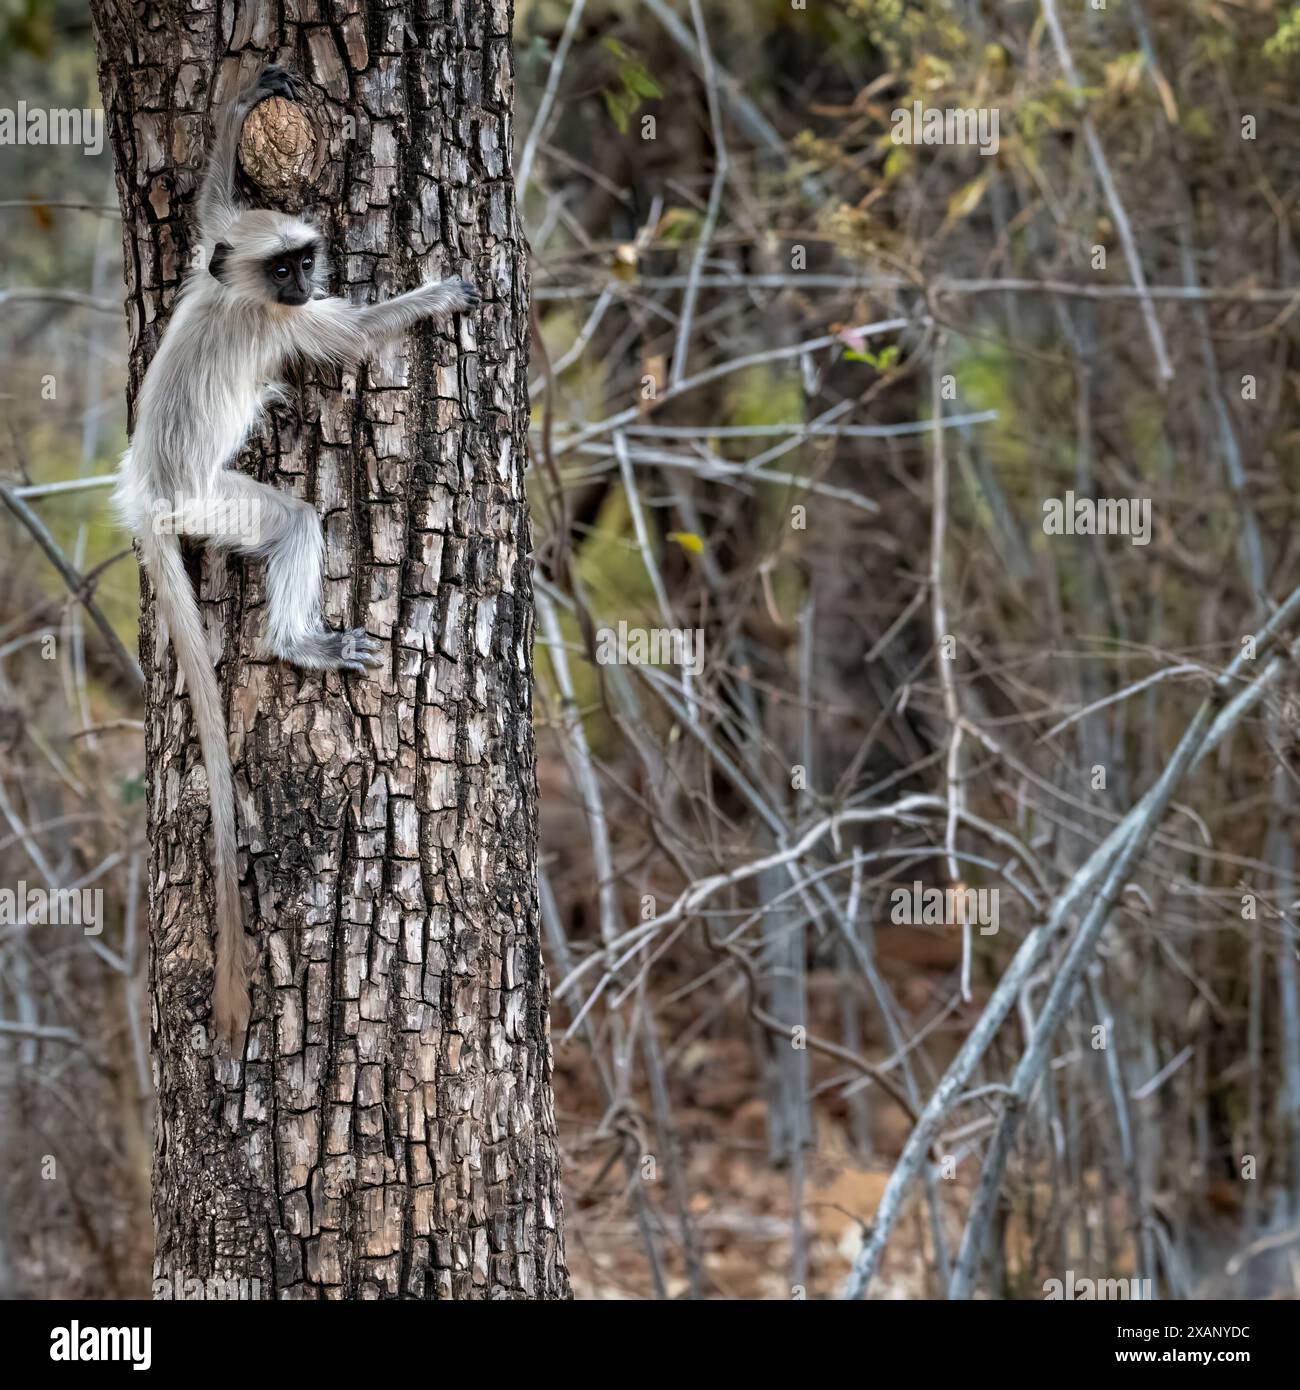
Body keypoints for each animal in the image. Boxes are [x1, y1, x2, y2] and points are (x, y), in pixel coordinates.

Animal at [115, 66, 478, 1052]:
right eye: (286, 269)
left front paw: (241, 104)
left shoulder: (212, 261)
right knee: (299, 523)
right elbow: (348, 341)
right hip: (215, 503)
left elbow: (207, 211)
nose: (309, 275)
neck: (231, 295)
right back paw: (300, 644)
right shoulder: (278, 323)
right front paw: (436, 297)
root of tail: (151, 491)